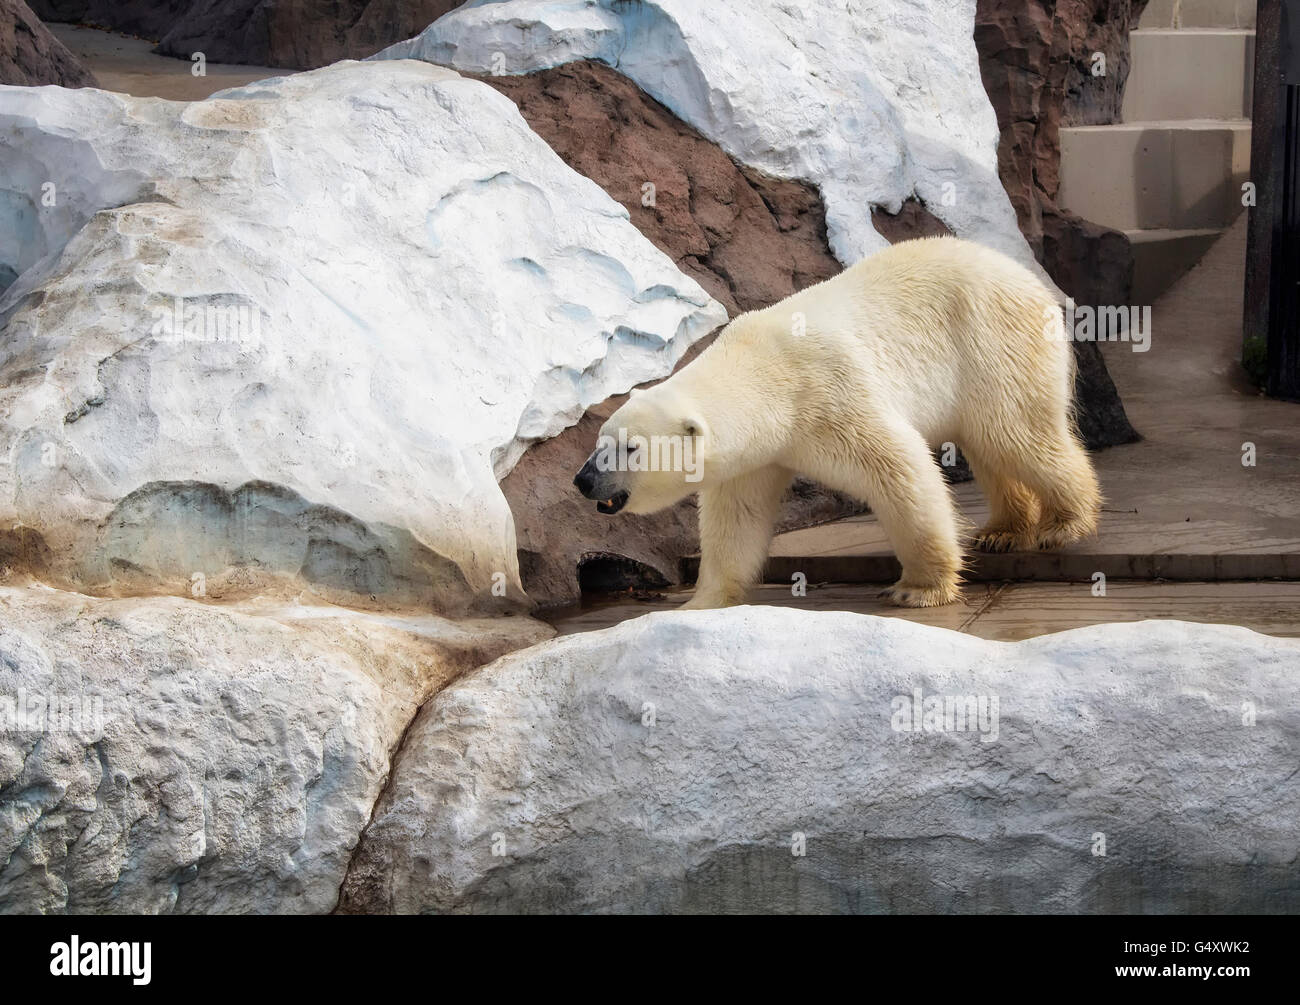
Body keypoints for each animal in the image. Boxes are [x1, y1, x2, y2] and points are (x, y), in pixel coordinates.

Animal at [572, 236, 1102, 609]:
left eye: (630, 448)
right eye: (600, 441)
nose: (584, 480)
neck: (768, 372)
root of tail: (1028, 278)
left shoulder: (830, 390)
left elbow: (900, 469)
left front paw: (917, 589)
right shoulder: (755, 455)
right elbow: (735, 518)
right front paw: (700, 602)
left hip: (993, 340)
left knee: (1016, 433)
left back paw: (1064, 523)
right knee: (990, 443)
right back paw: (1003, 531)